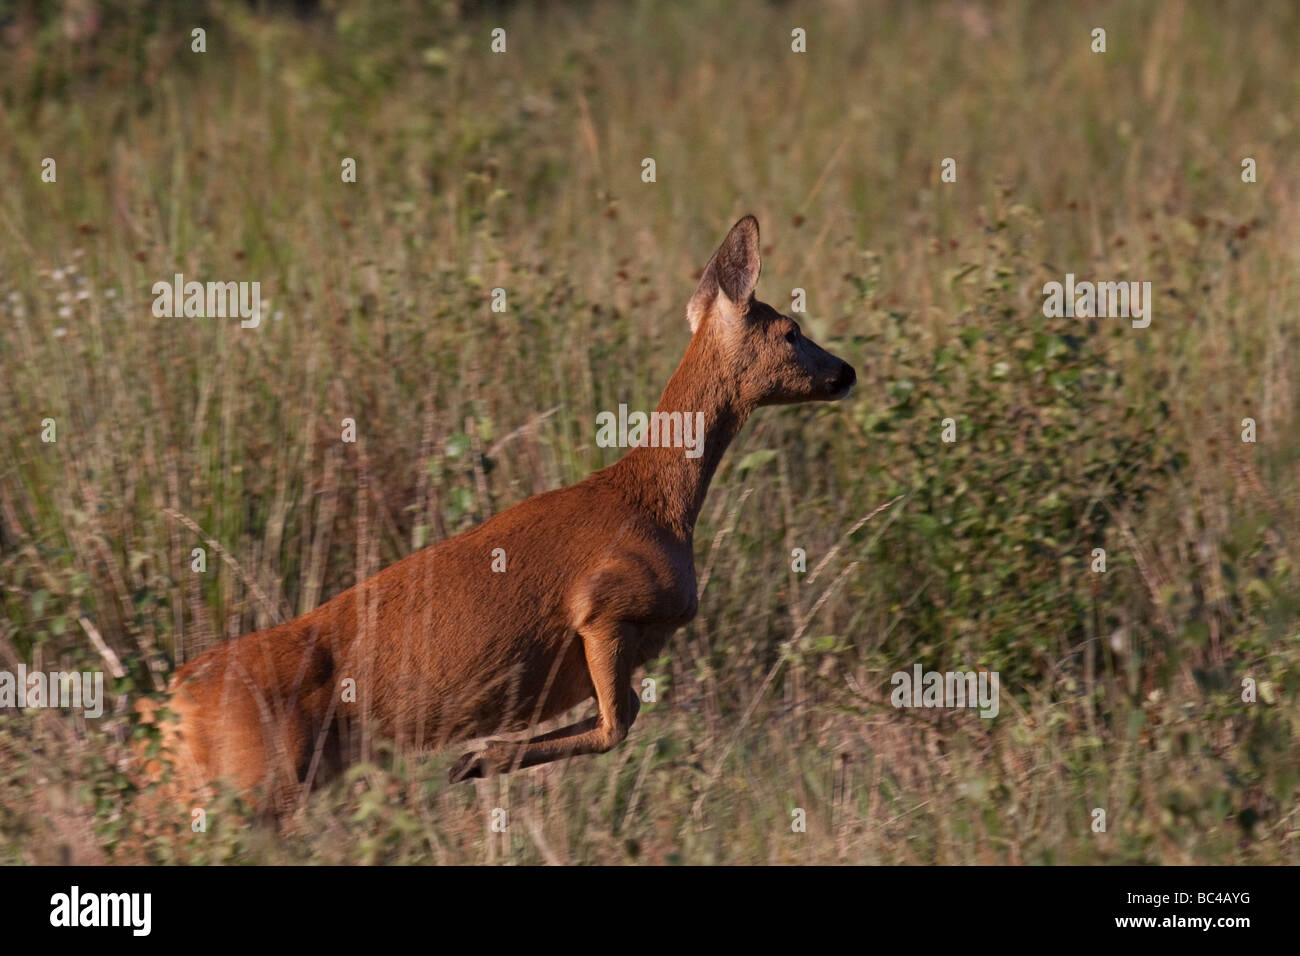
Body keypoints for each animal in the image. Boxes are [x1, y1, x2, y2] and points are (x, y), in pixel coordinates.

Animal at [141, 215, 856, 817]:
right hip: (257, 781)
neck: (658, 504)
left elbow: (618, 718)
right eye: (791, 331)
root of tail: (173, 699)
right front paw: (476, 760)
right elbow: (616, 723)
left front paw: (474, 760)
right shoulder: (603, 607)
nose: (846, 372)